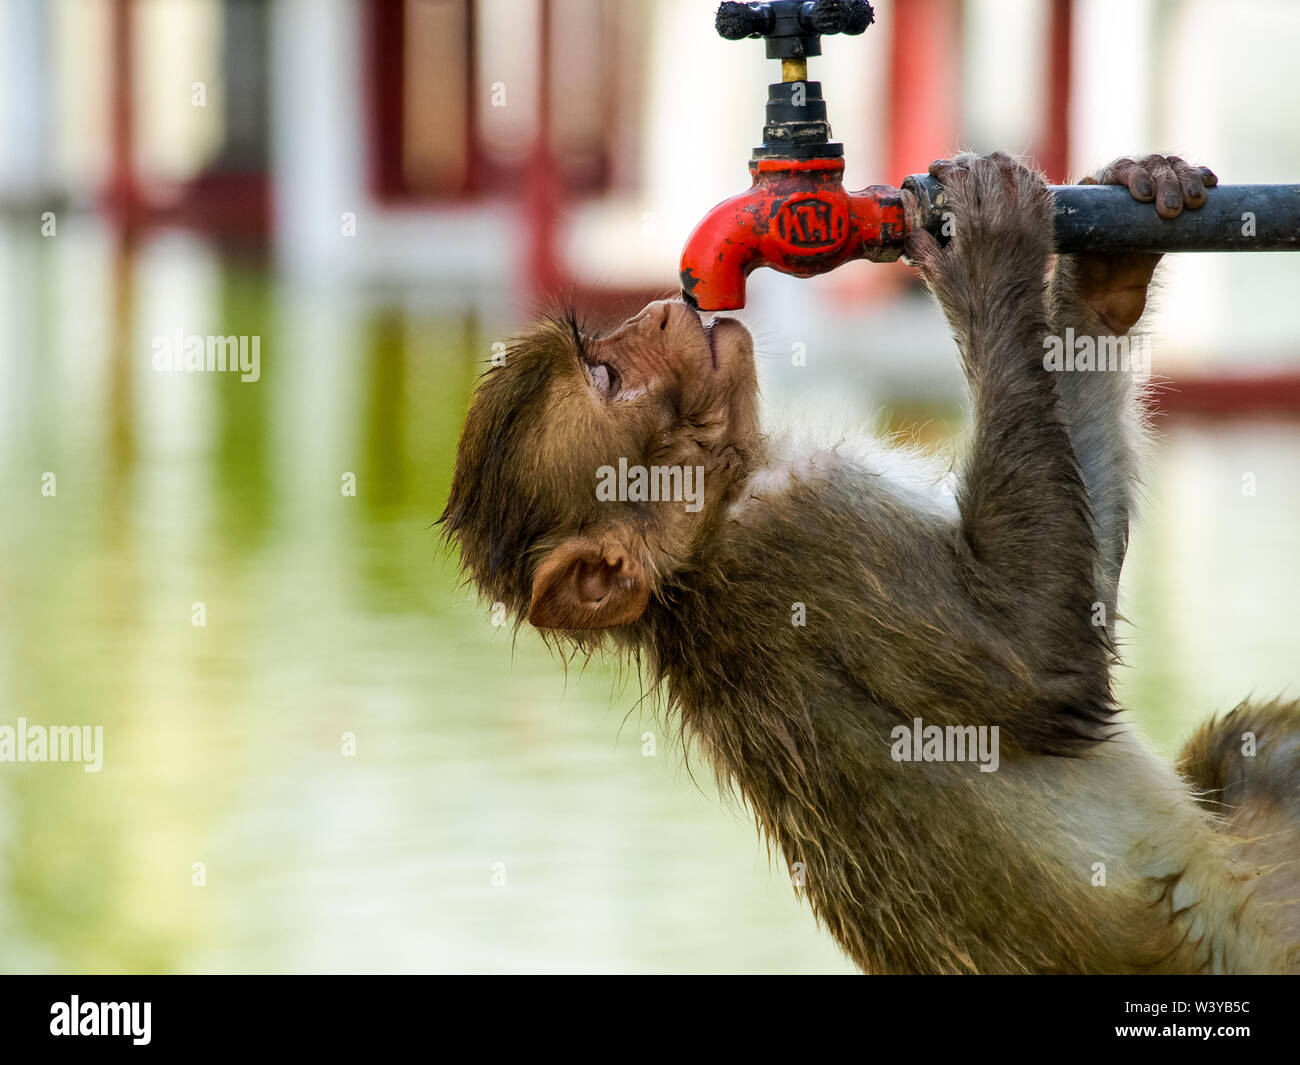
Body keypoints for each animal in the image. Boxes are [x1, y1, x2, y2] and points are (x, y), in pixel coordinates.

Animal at [443, 152, 1300, 974]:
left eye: (606, 351)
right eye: (606, 378)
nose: (660, 308)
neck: (702, 547)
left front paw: (1109, 269)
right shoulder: (808, 527)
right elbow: (1044, 666)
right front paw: (987, 251)